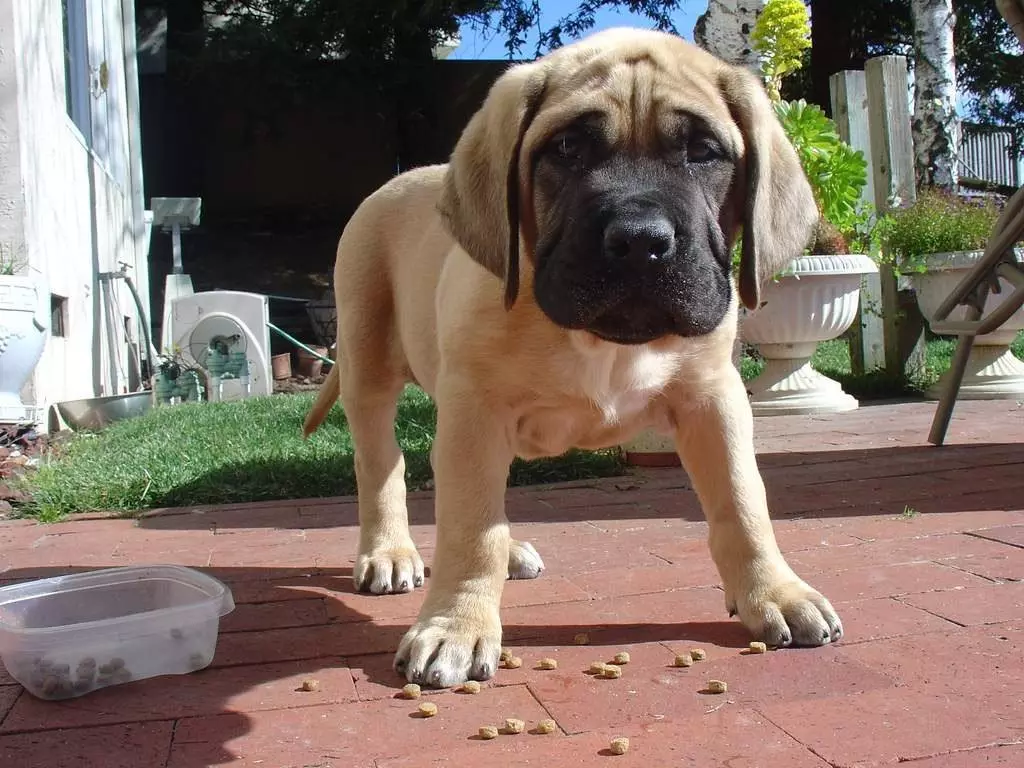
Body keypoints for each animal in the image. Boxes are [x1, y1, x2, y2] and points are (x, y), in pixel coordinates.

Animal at [301, 27, 839, 688]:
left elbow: (743, 502)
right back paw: (389, 553)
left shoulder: (714, 399)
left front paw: (777, 594)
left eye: (704, 151)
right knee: (384, 464)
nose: (640, 241)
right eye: (567, 148)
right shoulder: (475, 412)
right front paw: (457, 626)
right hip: (369, 360)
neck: (600, 340)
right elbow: (471, 526)